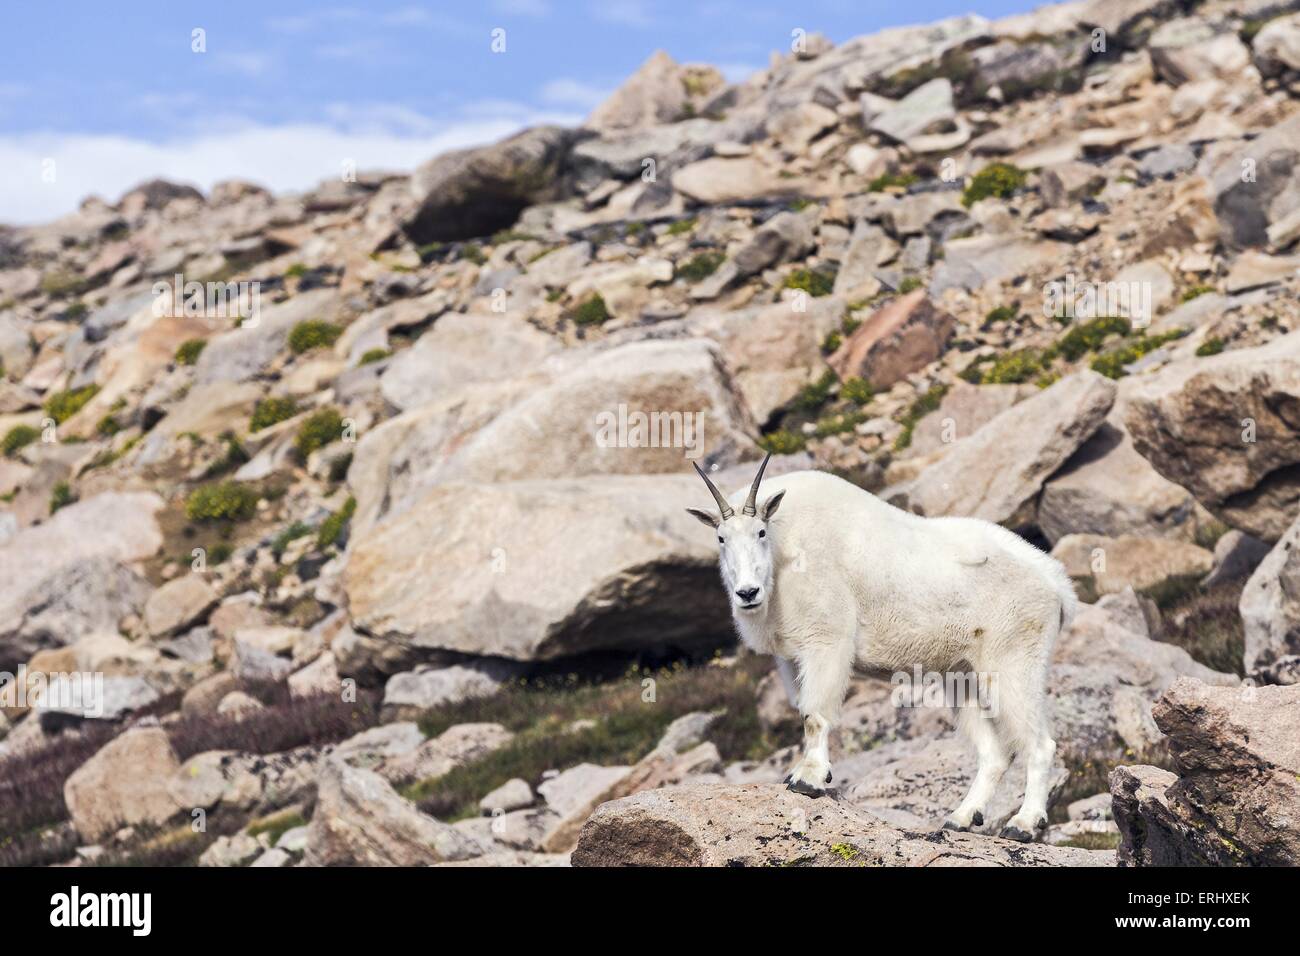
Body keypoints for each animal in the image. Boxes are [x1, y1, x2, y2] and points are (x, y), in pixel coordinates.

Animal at [687, 454, 1077, 841]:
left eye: (761, 532)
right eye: (721, 538)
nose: (747, 593)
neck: (786, 551)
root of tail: (1056, 581)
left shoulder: (827, 640)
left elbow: (815, 714)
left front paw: (808, 779)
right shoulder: (789, 657)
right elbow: (803, 711)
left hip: (1015, 660)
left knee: (1040, 744)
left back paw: (1023, 824)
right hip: (963, 675)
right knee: (993, 753)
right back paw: (960, 818)